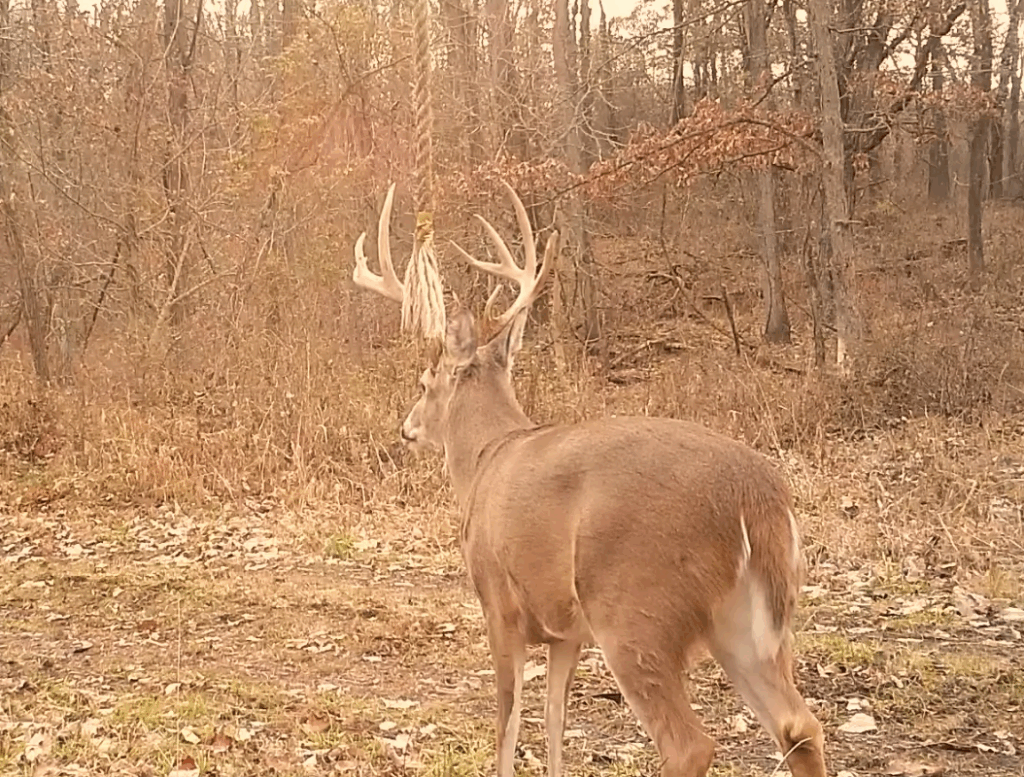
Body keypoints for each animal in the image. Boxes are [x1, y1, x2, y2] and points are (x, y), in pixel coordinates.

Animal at [351, 182, 828, 777]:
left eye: (424, 381)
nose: (407, 427)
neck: (484, 457)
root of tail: (758, 498)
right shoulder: (565, 631)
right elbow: (555, 720)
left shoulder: (498, 601)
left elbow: (507, 722)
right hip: (745, 624)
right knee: (799, 726)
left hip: (633, 607)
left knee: (691, 744)